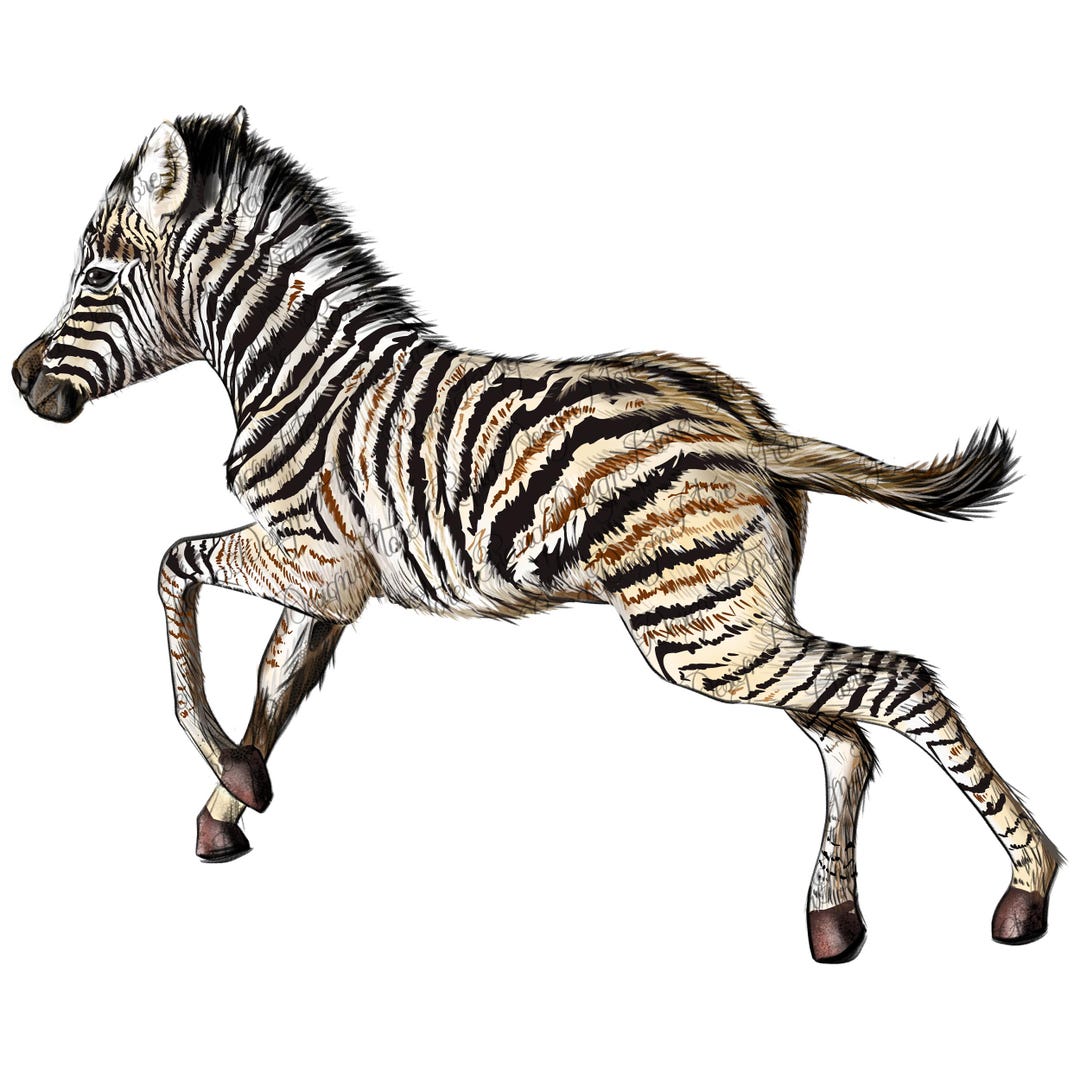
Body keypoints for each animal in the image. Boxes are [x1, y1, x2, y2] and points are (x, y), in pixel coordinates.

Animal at [12, 108, 1060, 963]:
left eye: (95, 275)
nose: (22, 382)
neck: (297, 373)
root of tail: (748, 424)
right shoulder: (329, 580)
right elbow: (277, 678)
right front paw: (235, 798)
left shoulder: (312, 557)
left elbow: (170, 570)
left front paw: (228, 769)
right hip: (736, 615)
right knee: (847, 740)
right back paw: (834, 919)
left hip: (703, 630)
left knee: (898, 686)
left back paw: (1026, 890)